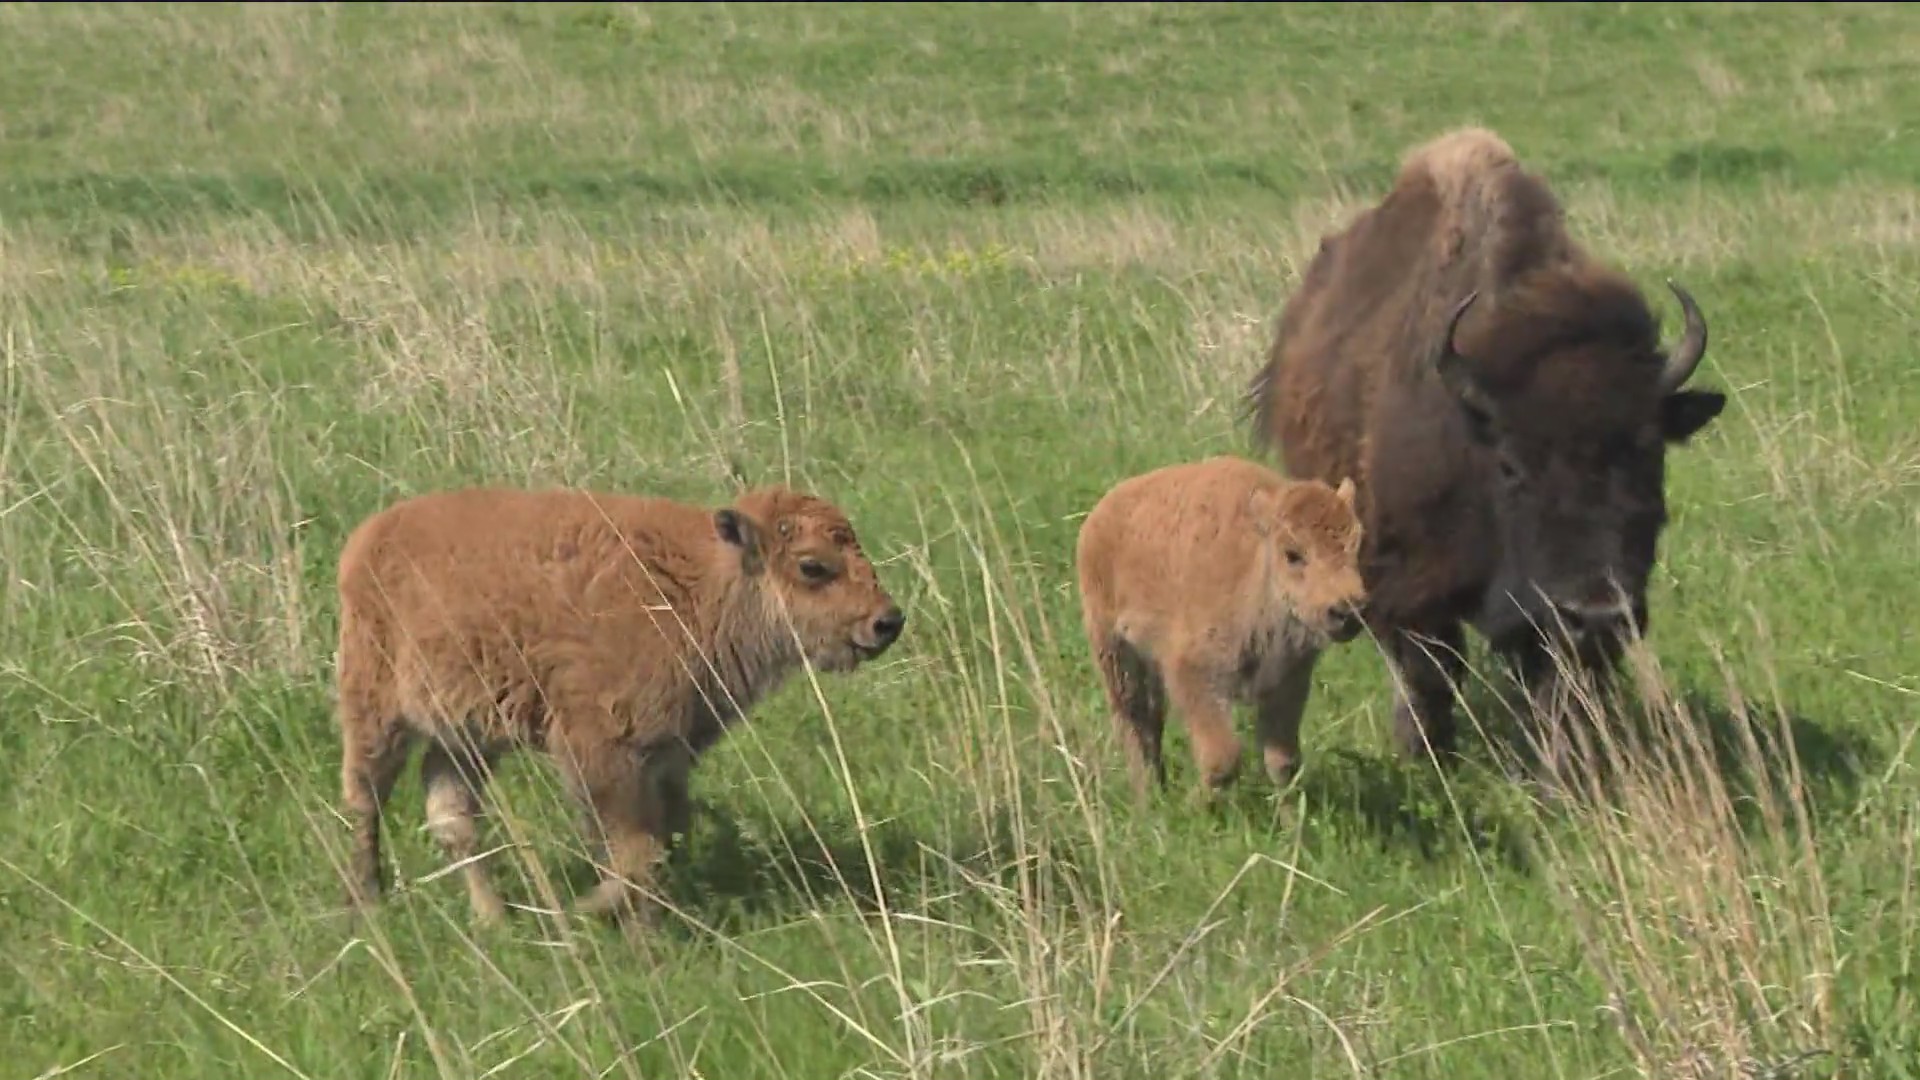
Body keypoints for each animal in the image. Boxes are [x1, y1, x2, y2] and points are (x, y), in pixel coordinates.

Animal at [332, 483, 905, 931]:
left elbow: (660, 837)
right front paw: (610, 918)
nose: (887, 621)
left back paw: (493, 918)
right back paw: (369, 906)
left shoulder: (667, 755)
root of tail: (370, 536)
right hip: (376, 711)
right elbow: (634, 849)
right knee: (367, 801)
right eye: (812, 566)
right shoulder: (603, 751)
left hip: (467, 735)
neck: (697, 586)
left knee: (452, 815)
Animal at [1075, 455, 1369, 802]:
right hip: (1114, 650)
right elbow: (1222, 756)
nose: (1347, 612)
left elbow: (1283, 761)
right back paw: (1147, 799)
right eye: (1293, 554)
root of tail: (1098, 516)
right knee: (1134, 720)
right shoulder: (1194, 675)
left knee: (1151, 718)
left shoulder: (1289, 682)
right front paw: (1196, 805)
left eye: (1356, 545)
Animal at [1244, 127, 1727, 783]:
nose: (1598, 614)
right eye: (1512, 465)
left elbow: (1557, 692)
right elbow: (1429, 672)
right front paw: (1431, 762)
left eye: (1651, 454)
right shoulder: (1407, 581)